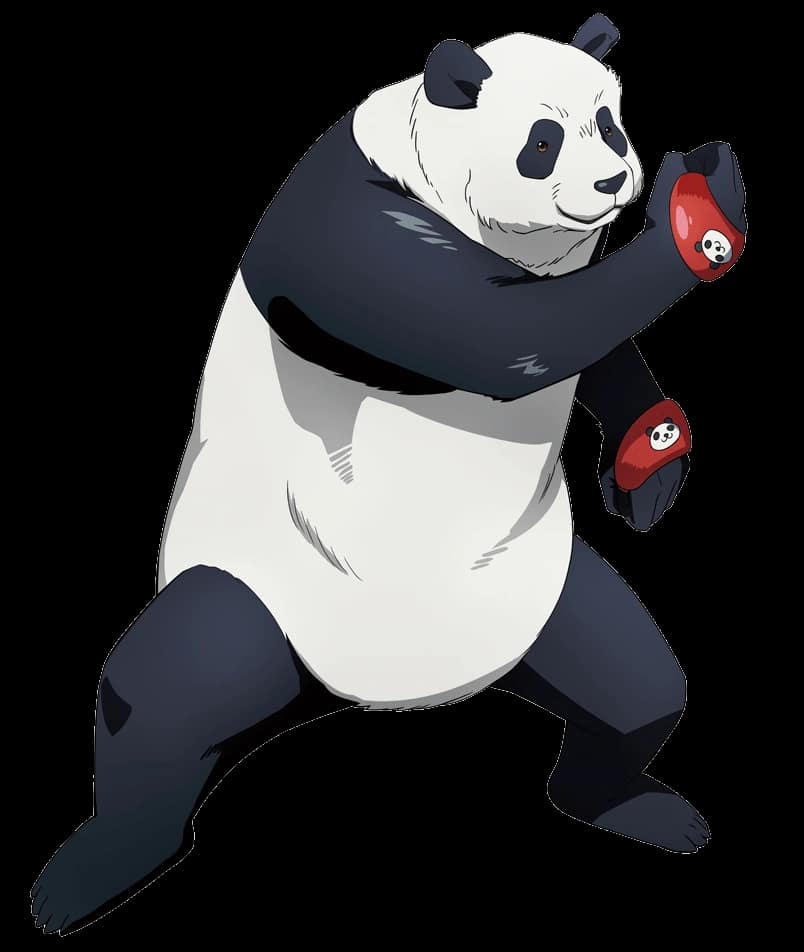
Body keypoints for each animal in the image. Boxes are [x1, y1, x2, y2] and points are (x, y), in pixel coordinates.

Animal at [31, 14, 746, 934]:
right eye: (541, 142)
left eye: (609, 125)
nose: (615, 179)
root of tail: (354, 697)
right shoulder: (356, 235)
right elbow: (506, 337)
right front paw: (703, 205)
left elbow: (590, 349)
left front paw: (649, 464)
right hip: (266, 587)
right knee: (173, 683)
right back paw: (97, 868)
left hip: (542, 597)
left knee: (637, 688)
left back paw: (630, 804)